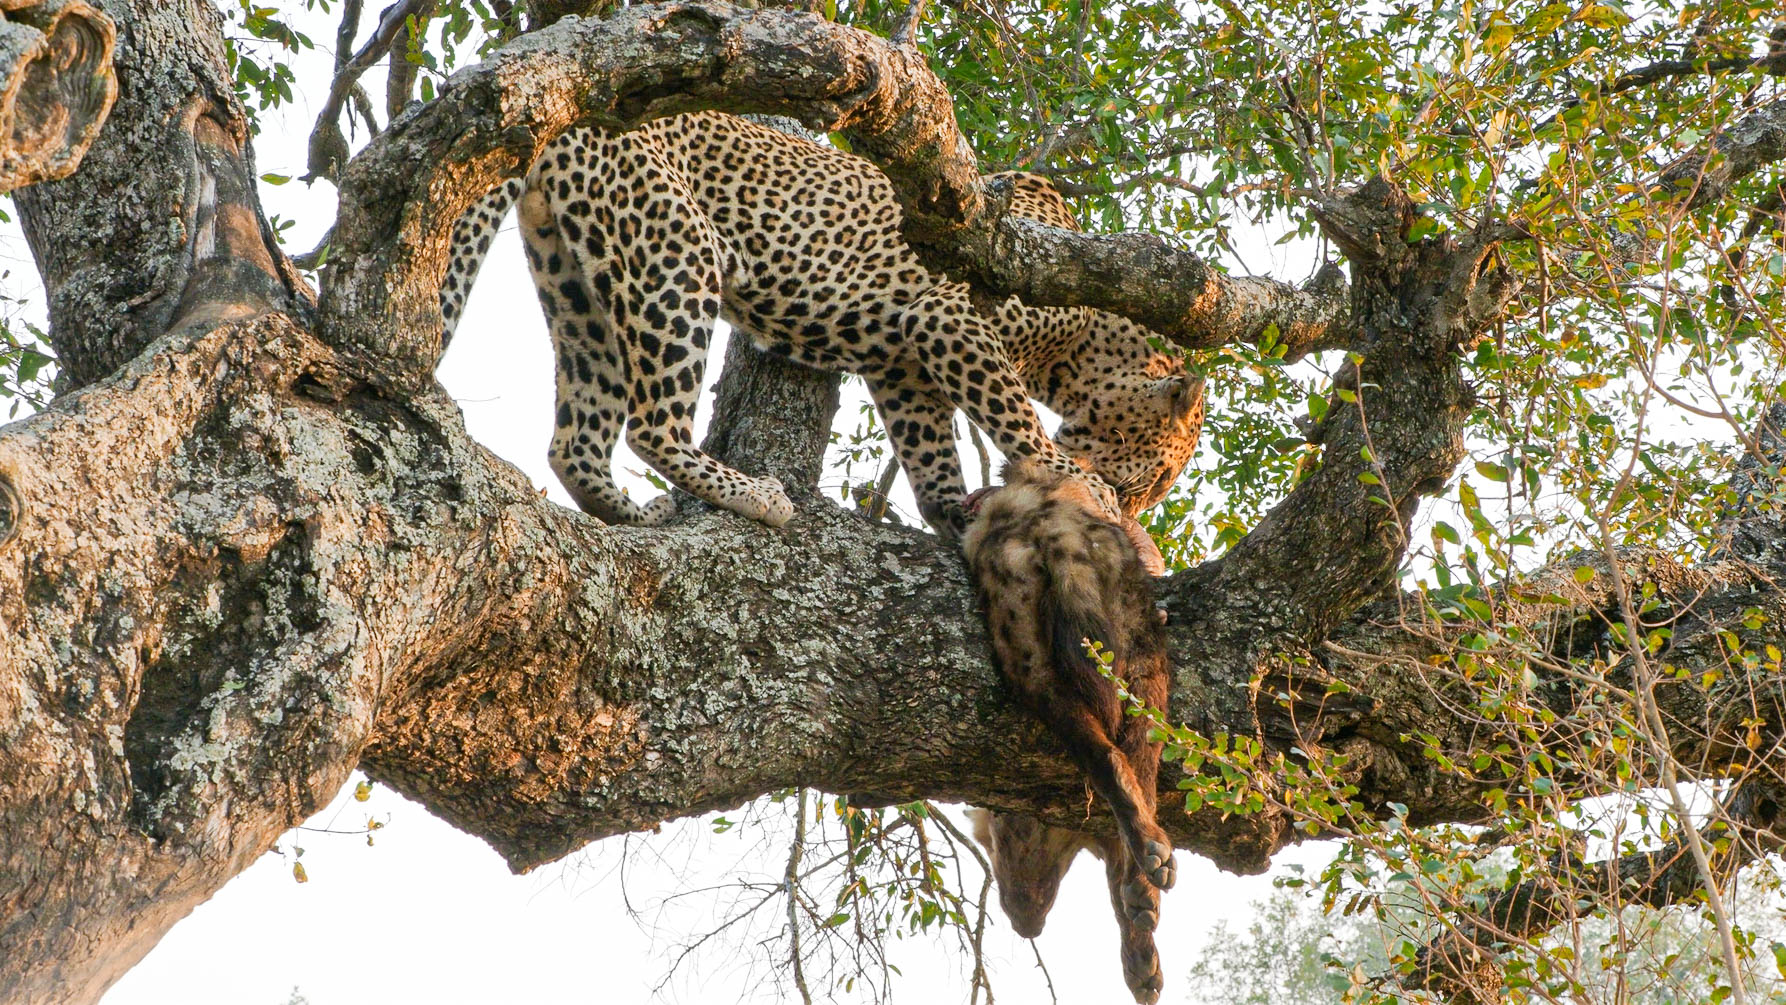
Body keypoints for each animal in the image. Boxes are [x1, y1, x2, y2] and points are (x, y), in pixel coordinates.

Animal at [439, 111, 1203, 534]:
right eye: (1159, 477)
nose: (1139, 507)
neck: (1086, 345)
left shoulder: (905, 365)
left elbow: (931, 450)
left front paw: (953, 509)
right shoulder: (955, 317)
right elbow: (1014, 416)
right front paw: (1078, 481)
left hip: (574, 283)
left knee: (576, 440)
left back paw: (633, 513)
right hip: (674, 252)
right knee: (653, 426)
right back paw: (757, 497)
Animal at [960, 456, 1177, 1004]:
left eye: (1001, 844)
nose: (1025, 922)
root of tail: (1050, 529)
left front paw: (1140, 958)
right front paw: (1142, 955)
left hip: (1028, 645)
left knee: (1107, 754)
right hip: (1136, 636)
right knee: (1133, 760)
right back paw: (1150, 865)